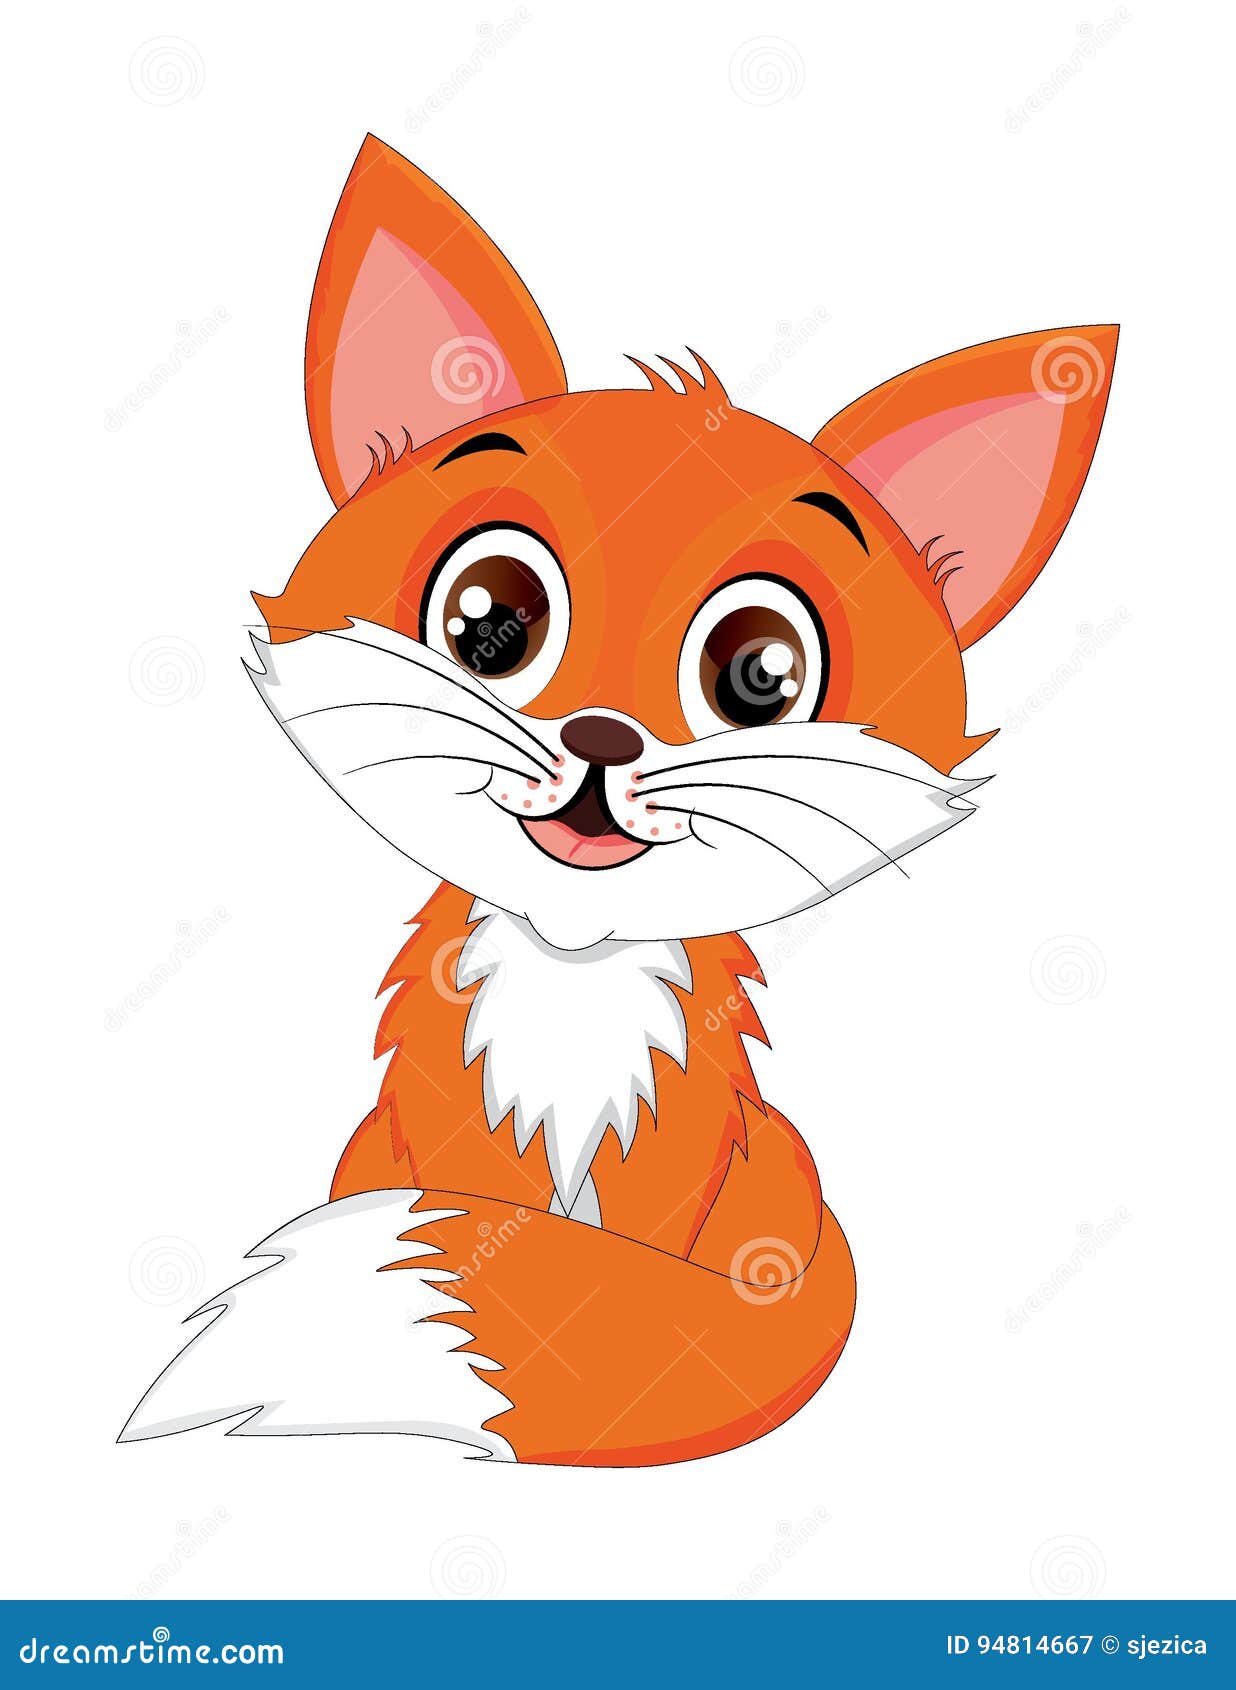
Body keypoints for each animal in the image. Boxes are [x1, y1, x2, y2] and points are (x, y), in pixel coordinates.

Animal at [122, 136, 1116, 1466]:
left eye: (760, 671)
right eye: (491, 615)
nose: (598, 738)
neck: (570, 977)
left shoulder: (679, 1174)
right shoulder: (442, 1144)